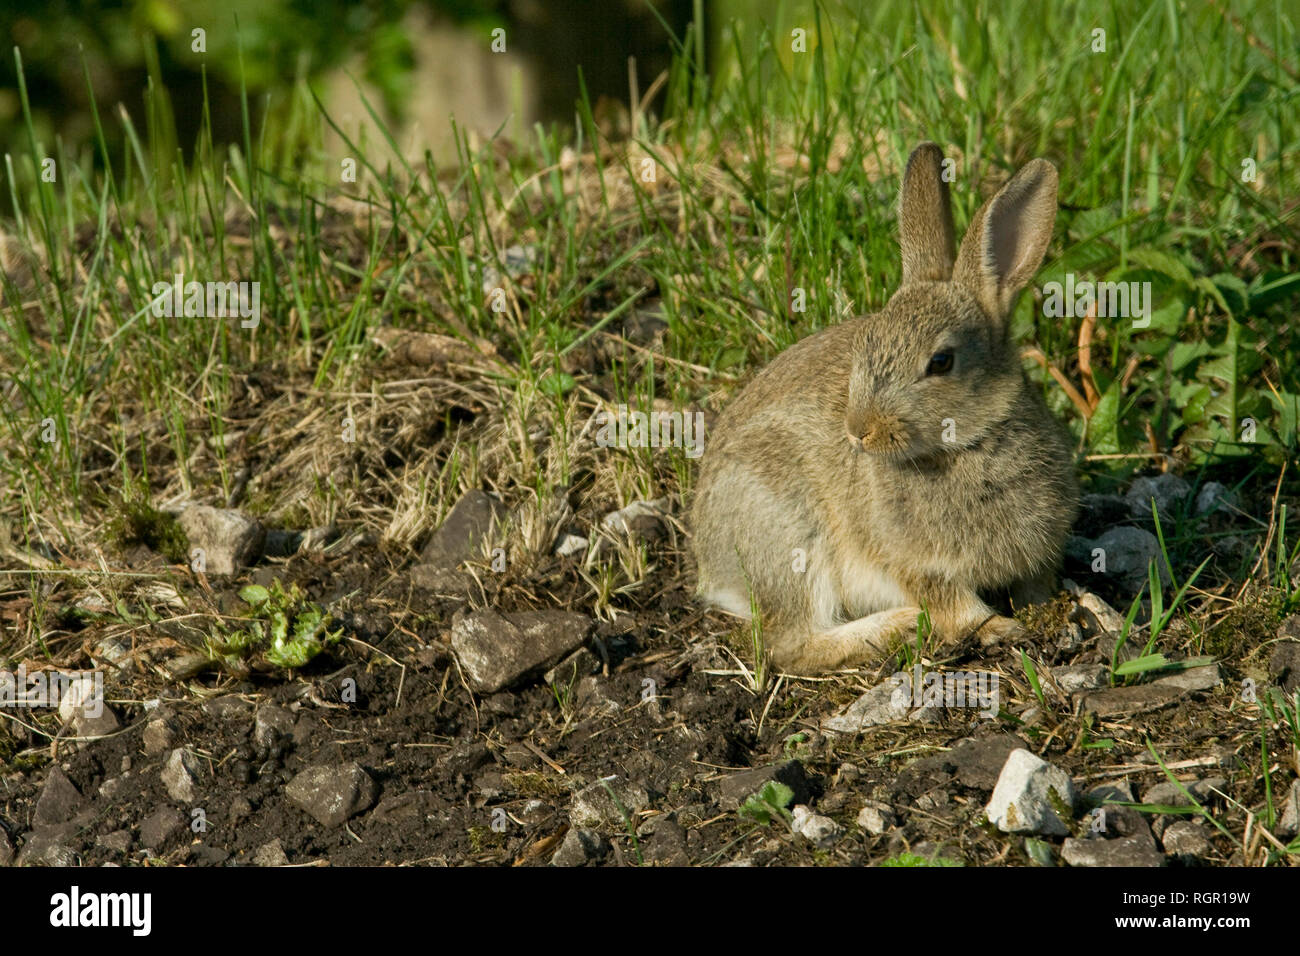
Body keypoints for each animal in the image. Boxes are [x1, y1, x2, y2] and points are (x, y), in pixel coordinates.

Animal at [690, 142, 1079, 673]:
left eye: (941, 362)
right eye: (864, 344)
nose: (858, 430)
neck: (968, 446)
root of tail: (712, 564)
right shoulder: (915, 564)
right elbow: (953, 604)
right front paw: (998, 628)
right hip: (791, 534)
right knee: (793, 645)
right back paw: (898, 626)